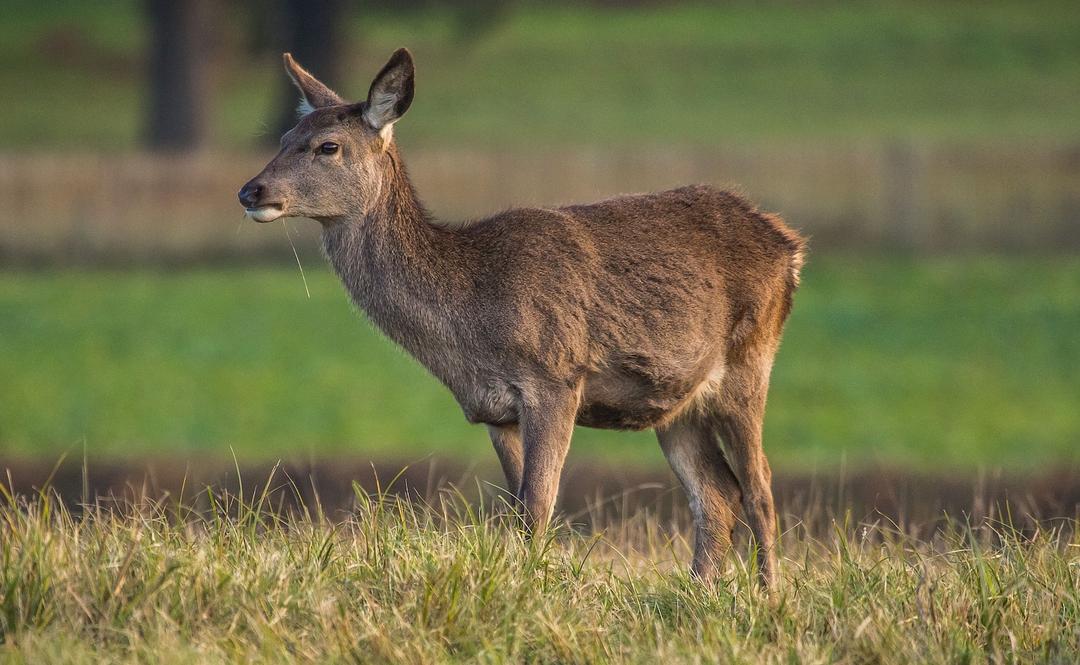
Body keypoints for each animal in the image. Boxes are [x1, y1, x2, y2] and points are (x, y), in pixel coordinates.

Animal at [237, 48, 805, 588]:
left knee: (759, 488)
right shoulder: (495, 410)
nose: (250, 191)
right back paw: (698, 592)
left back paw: (768, 596)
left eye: (328, 146)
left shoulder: (556, 378)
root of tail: (789, 245)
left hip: (751, 358)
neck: (471, 312)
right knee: (716, 494)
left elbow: (538, 507)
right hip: (676, 402)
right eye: (285, 136)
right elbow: (516, 509)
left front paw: (531, 591)